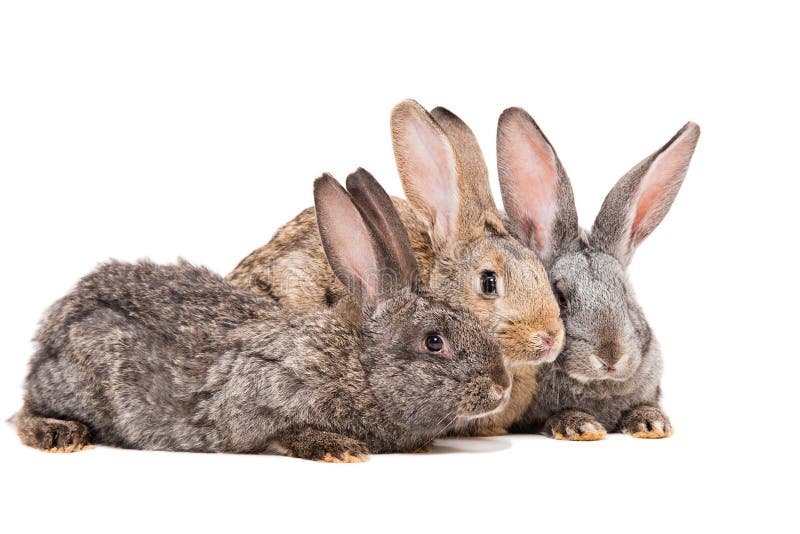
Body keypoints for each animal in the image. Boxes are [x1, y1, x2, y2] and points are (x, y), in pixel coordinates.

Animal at [14, 169, 510, 461]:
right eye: (434, 342)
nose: (502, 386)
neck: (363, 368)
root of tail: (51, 334)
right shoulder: (258, 395)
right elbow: (272, 430)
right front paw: (336, 447)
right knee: (23, 415)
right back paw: (58, 435)